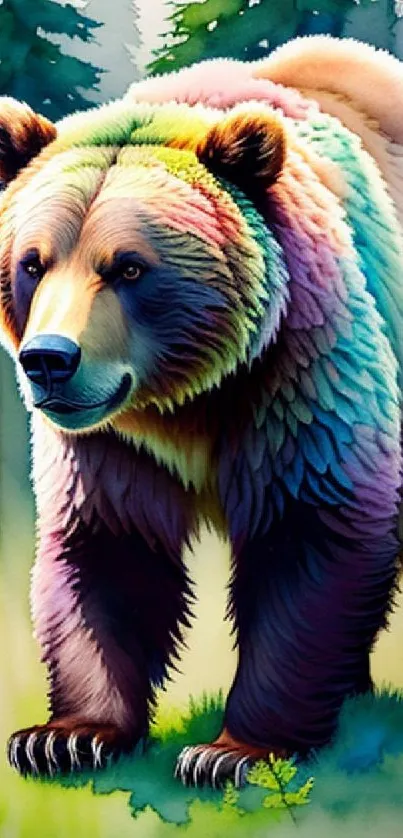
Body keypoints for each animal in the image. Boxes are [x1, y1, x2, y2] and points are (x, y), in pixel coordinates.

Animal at [1, 35, 402, 789]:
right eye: (33, 262)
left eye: (128, 267)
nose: (48, 360)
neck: (182, 397)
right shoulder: (109, 441)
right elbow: (109, 546)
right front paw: (64, 738)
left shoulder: (296, 372)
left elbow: (311, 528)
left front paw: (233, 752)